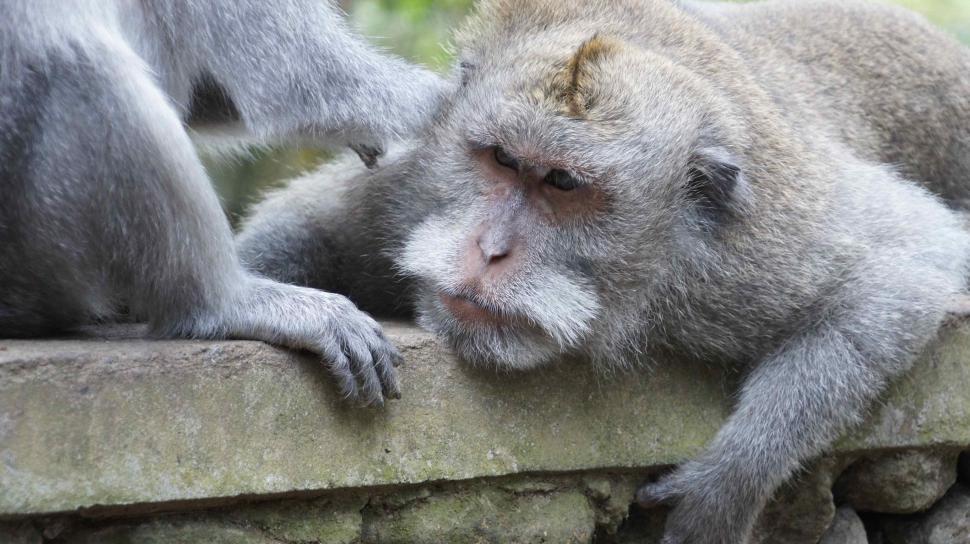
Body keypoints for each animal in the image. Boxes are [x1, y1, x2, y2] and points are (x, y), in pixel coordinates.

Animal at [237, 0, 970, 541]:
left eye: (563, 183)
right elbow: (303, 228)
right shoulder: (409, 181)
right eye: (501, 159)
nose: (490, 249)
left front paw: (730, 479)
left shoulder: (758, 254)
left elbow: (908, 262)